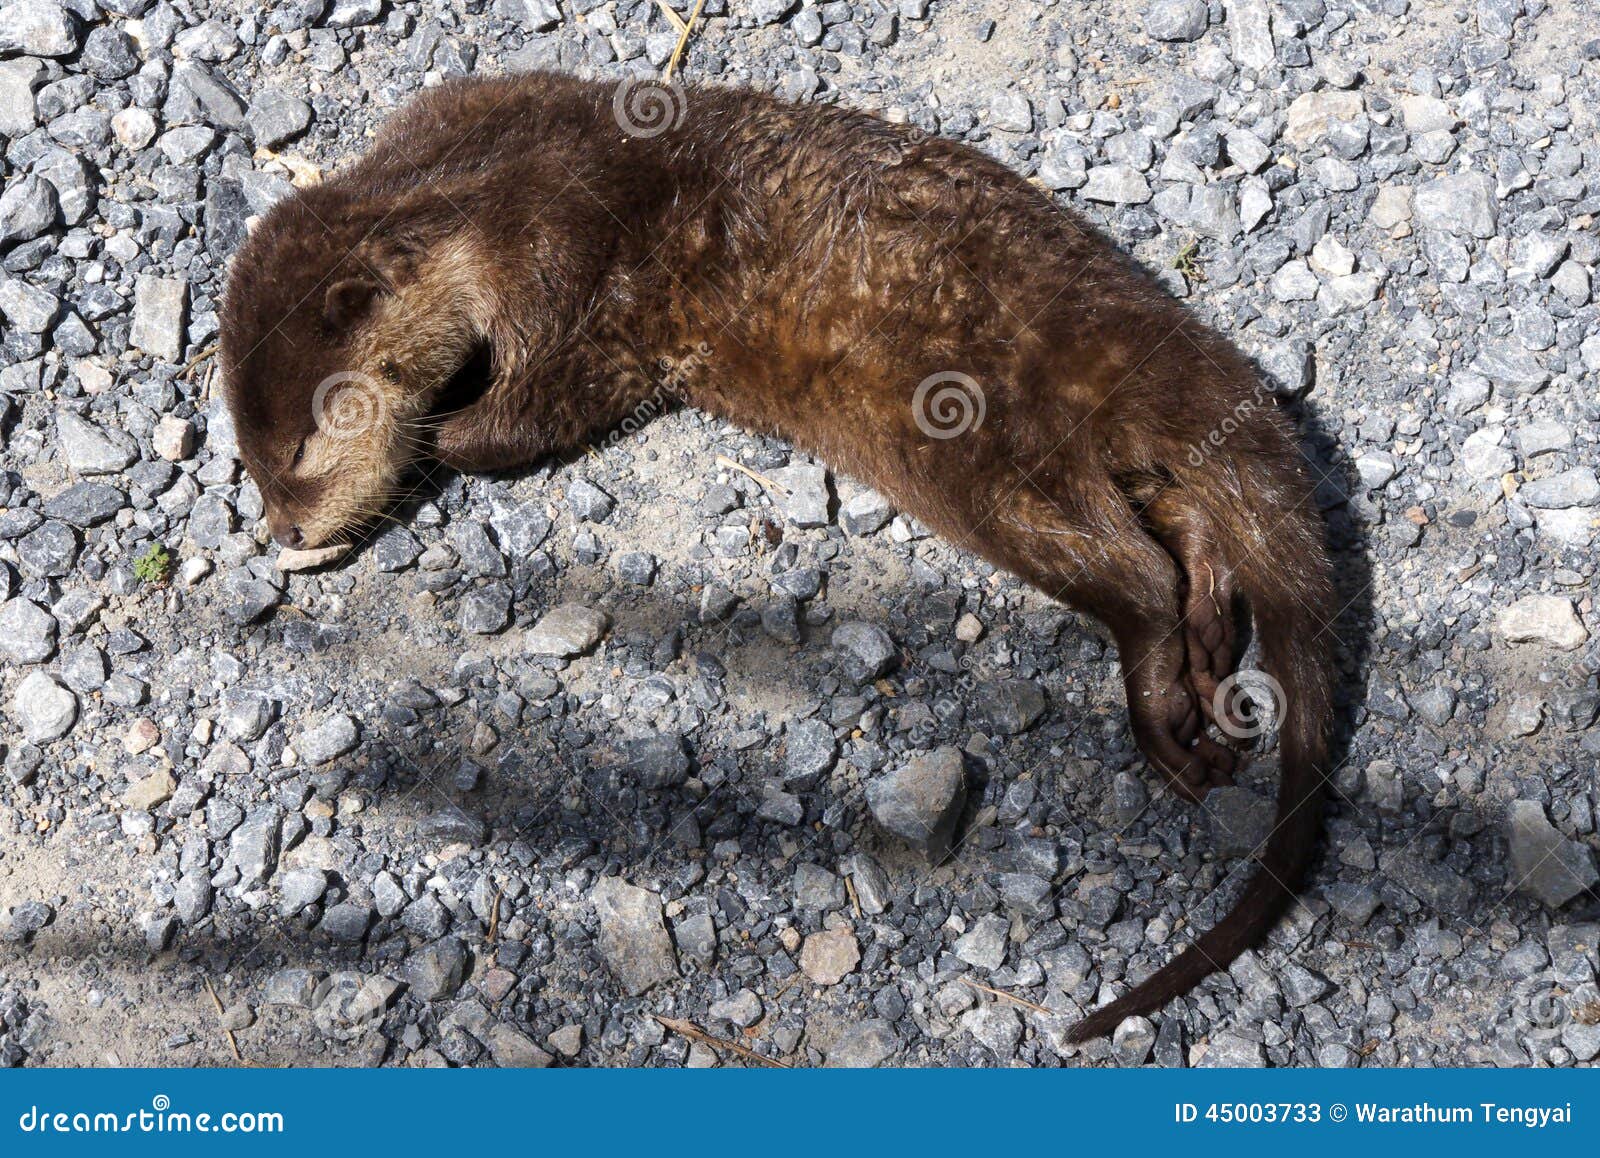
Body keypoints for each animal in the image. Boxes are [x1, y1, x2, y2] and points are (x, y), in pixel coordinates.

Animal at [219, 71, 1336, 1042]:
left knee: (1137, 576)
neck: (484, 189)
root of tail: (1132, 346)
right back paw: (1209, 643)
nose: (284, 532)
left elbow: (529, 413)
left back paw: (1173, 725)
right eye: (249, 454)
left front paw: (441, 432)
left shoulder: (564, 272)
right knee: (1184, 527)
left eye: (302, 447)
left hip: (993, 456)